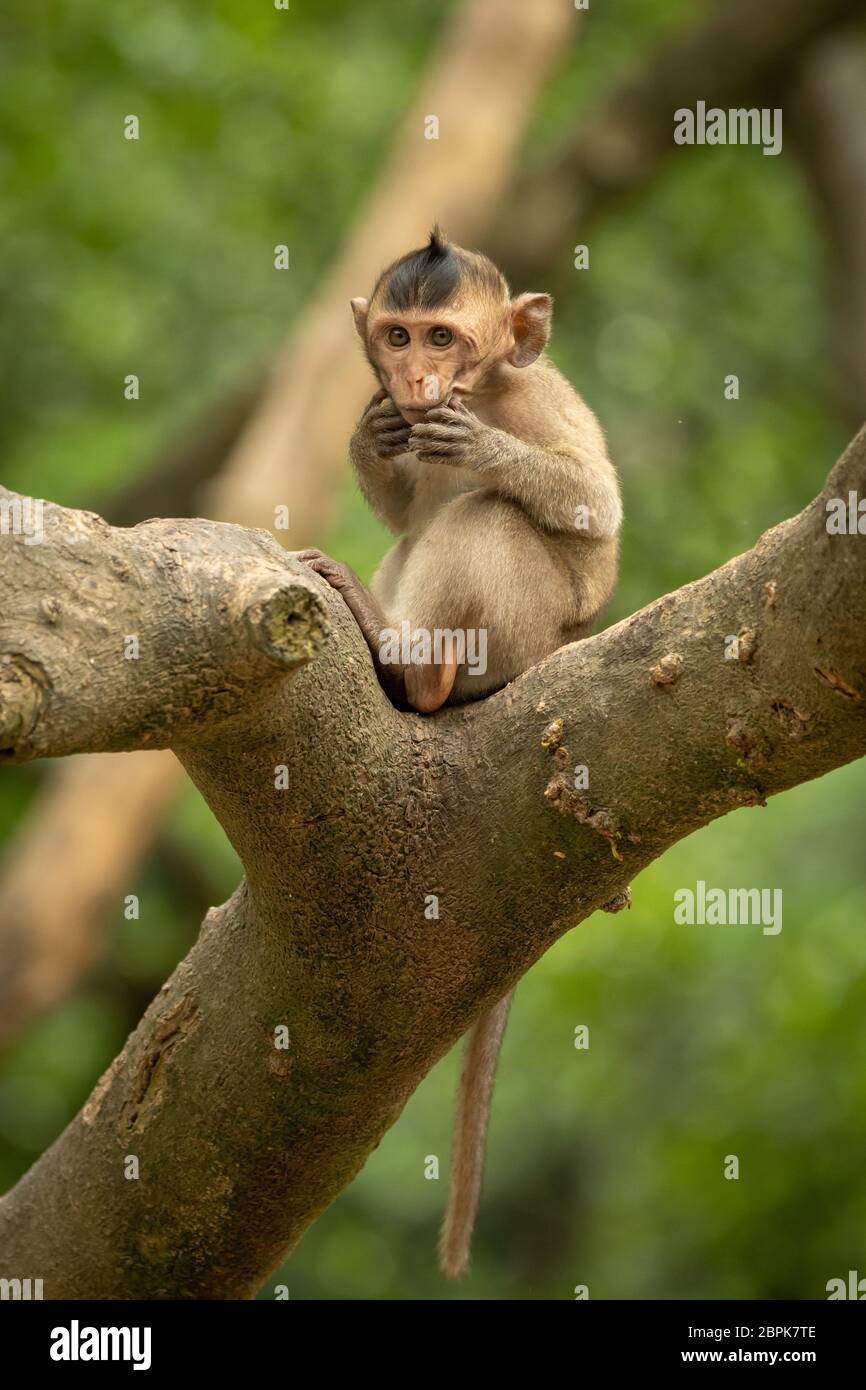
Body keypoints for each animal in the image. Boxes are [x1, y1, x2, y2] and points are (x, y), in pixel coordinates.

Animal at [294, 227, 621, 1278]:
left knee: (485, 518)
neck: (480, 391)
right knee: (422, 537)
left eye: (444, 337)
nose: (416, 379)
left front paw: (482, 449)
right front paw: (371, 435)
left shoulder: (537, 398)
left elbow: (593, 509)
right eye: (397, 337)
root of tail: (554, 653)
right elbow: (404, 513)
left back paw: (421, 672)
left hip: (517, 634)